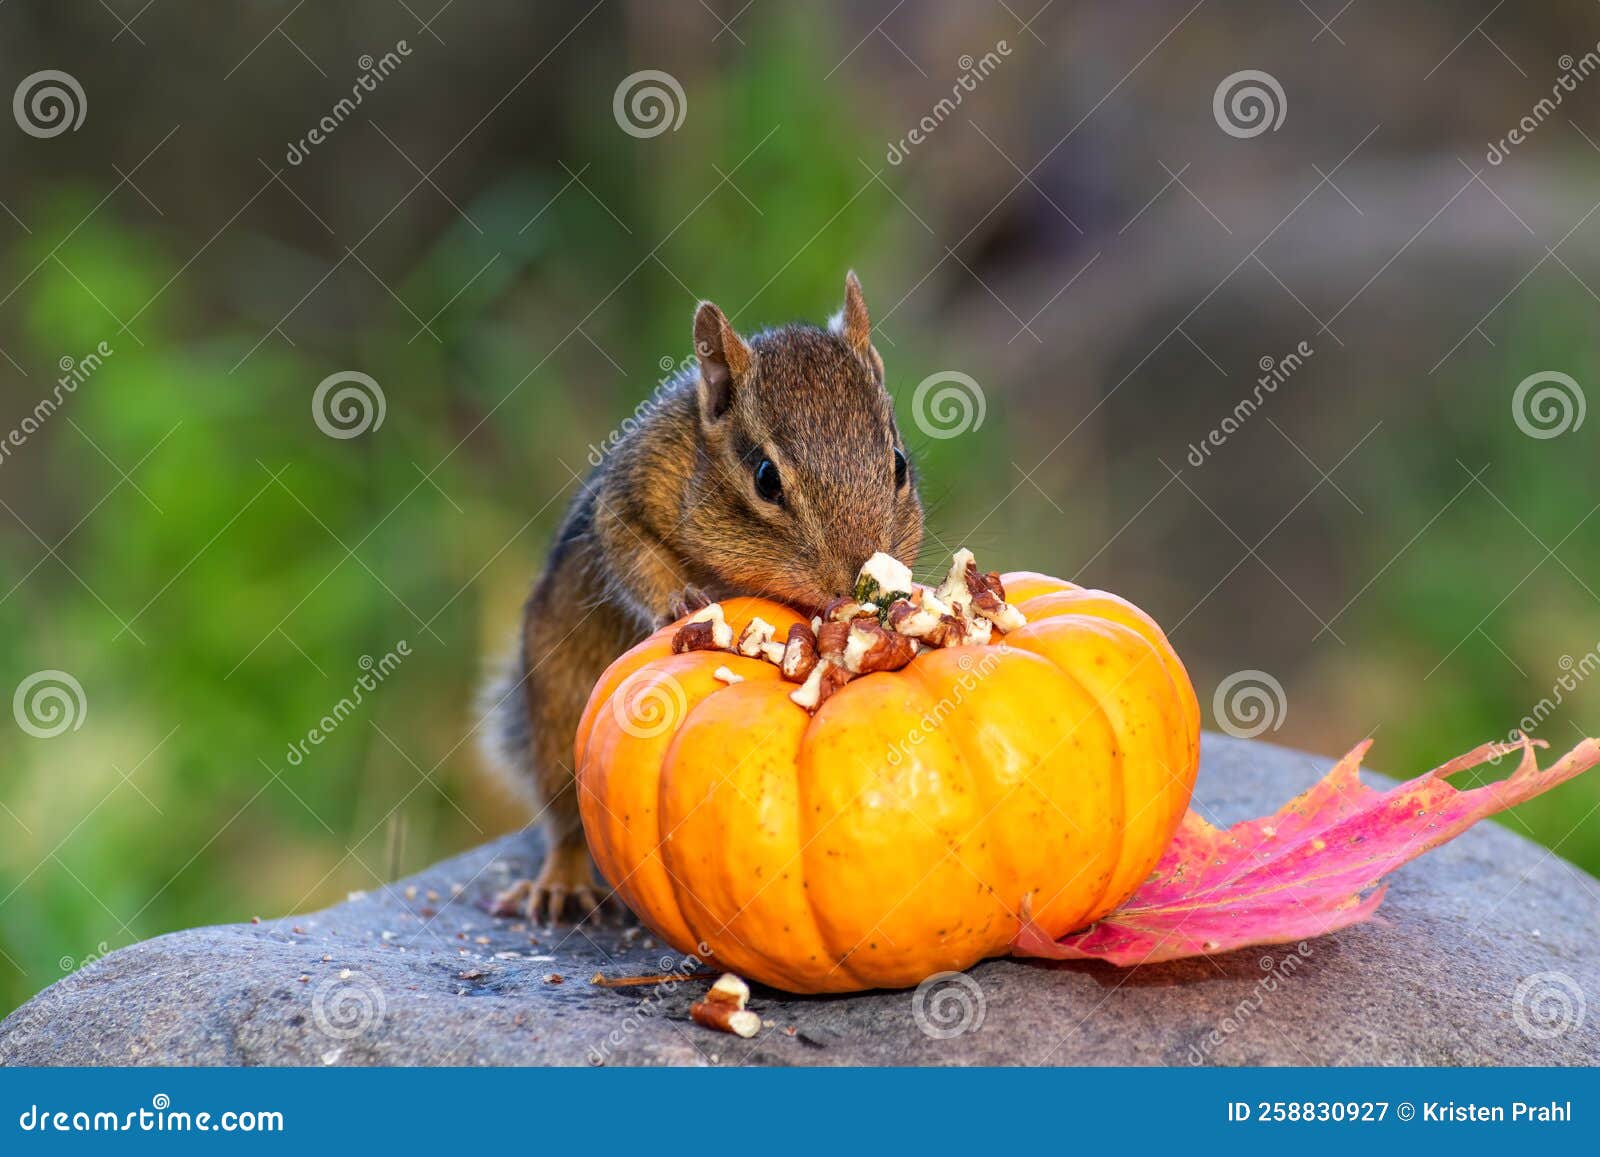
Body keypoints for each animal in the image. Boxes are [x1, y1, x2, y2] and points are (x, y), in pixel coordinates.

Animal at [480, 272, 926, 922]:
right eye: (766, 478)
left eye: (898, 465)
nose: (860, 587)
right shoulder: (635, 485)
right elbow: (628, 549)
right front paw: (679, 602)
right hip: (557, 719)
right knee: (564, 822)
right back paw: (561, 879)